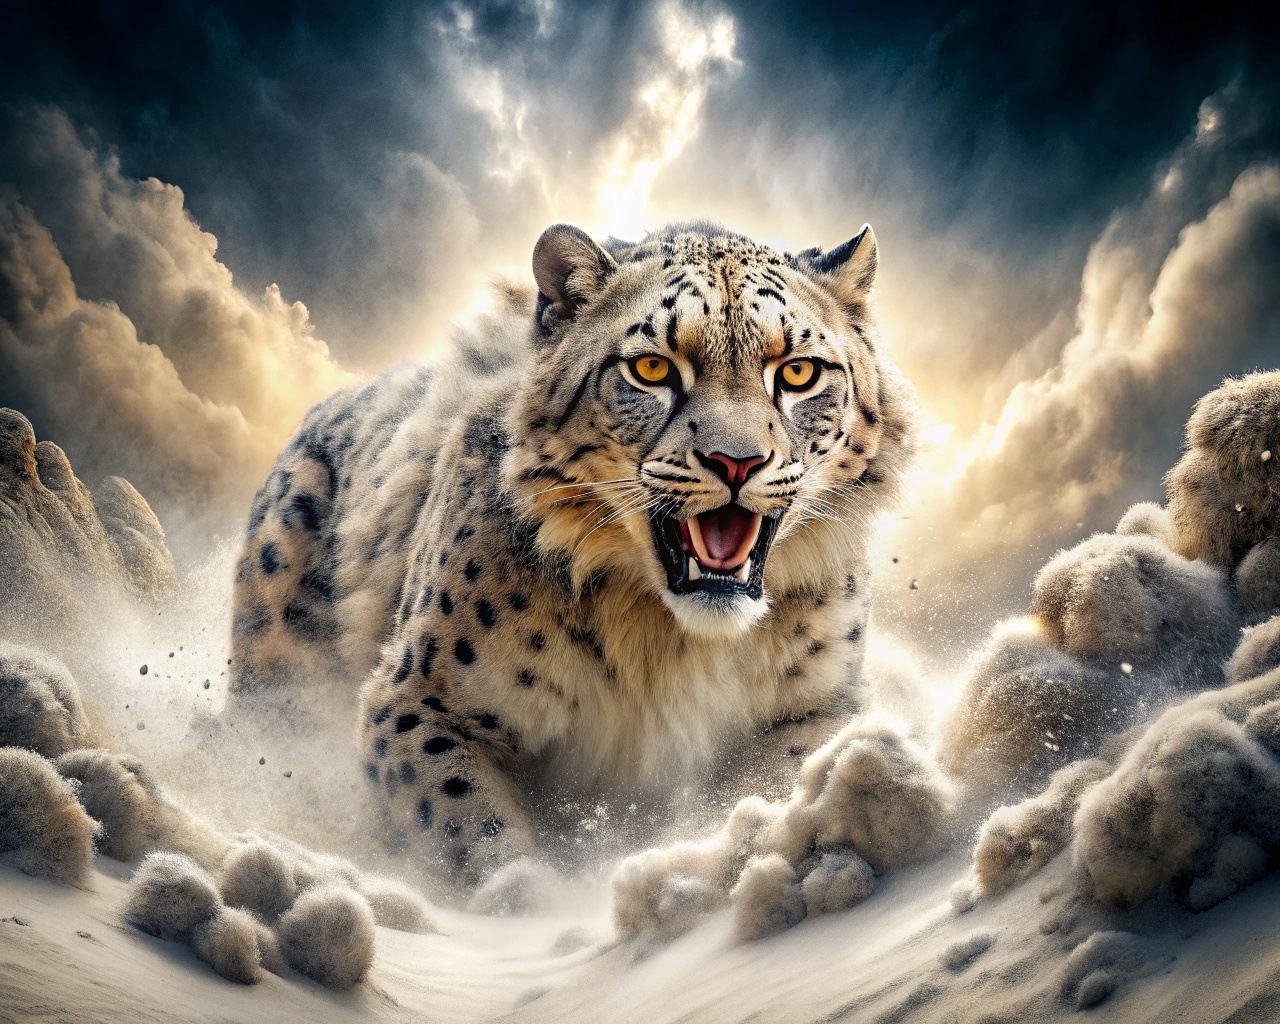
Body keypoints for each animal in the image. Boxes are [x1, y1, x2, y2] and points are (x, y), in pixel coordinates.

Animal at [229, 220, 917, 882]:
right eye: (652, 369)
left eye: (798, 371)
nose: (737, 460)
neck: (666, 643)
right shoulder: (419, 699)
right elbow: (470, 827)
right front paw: (532, 898)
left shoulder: (817, 706)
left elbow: (788, 786)